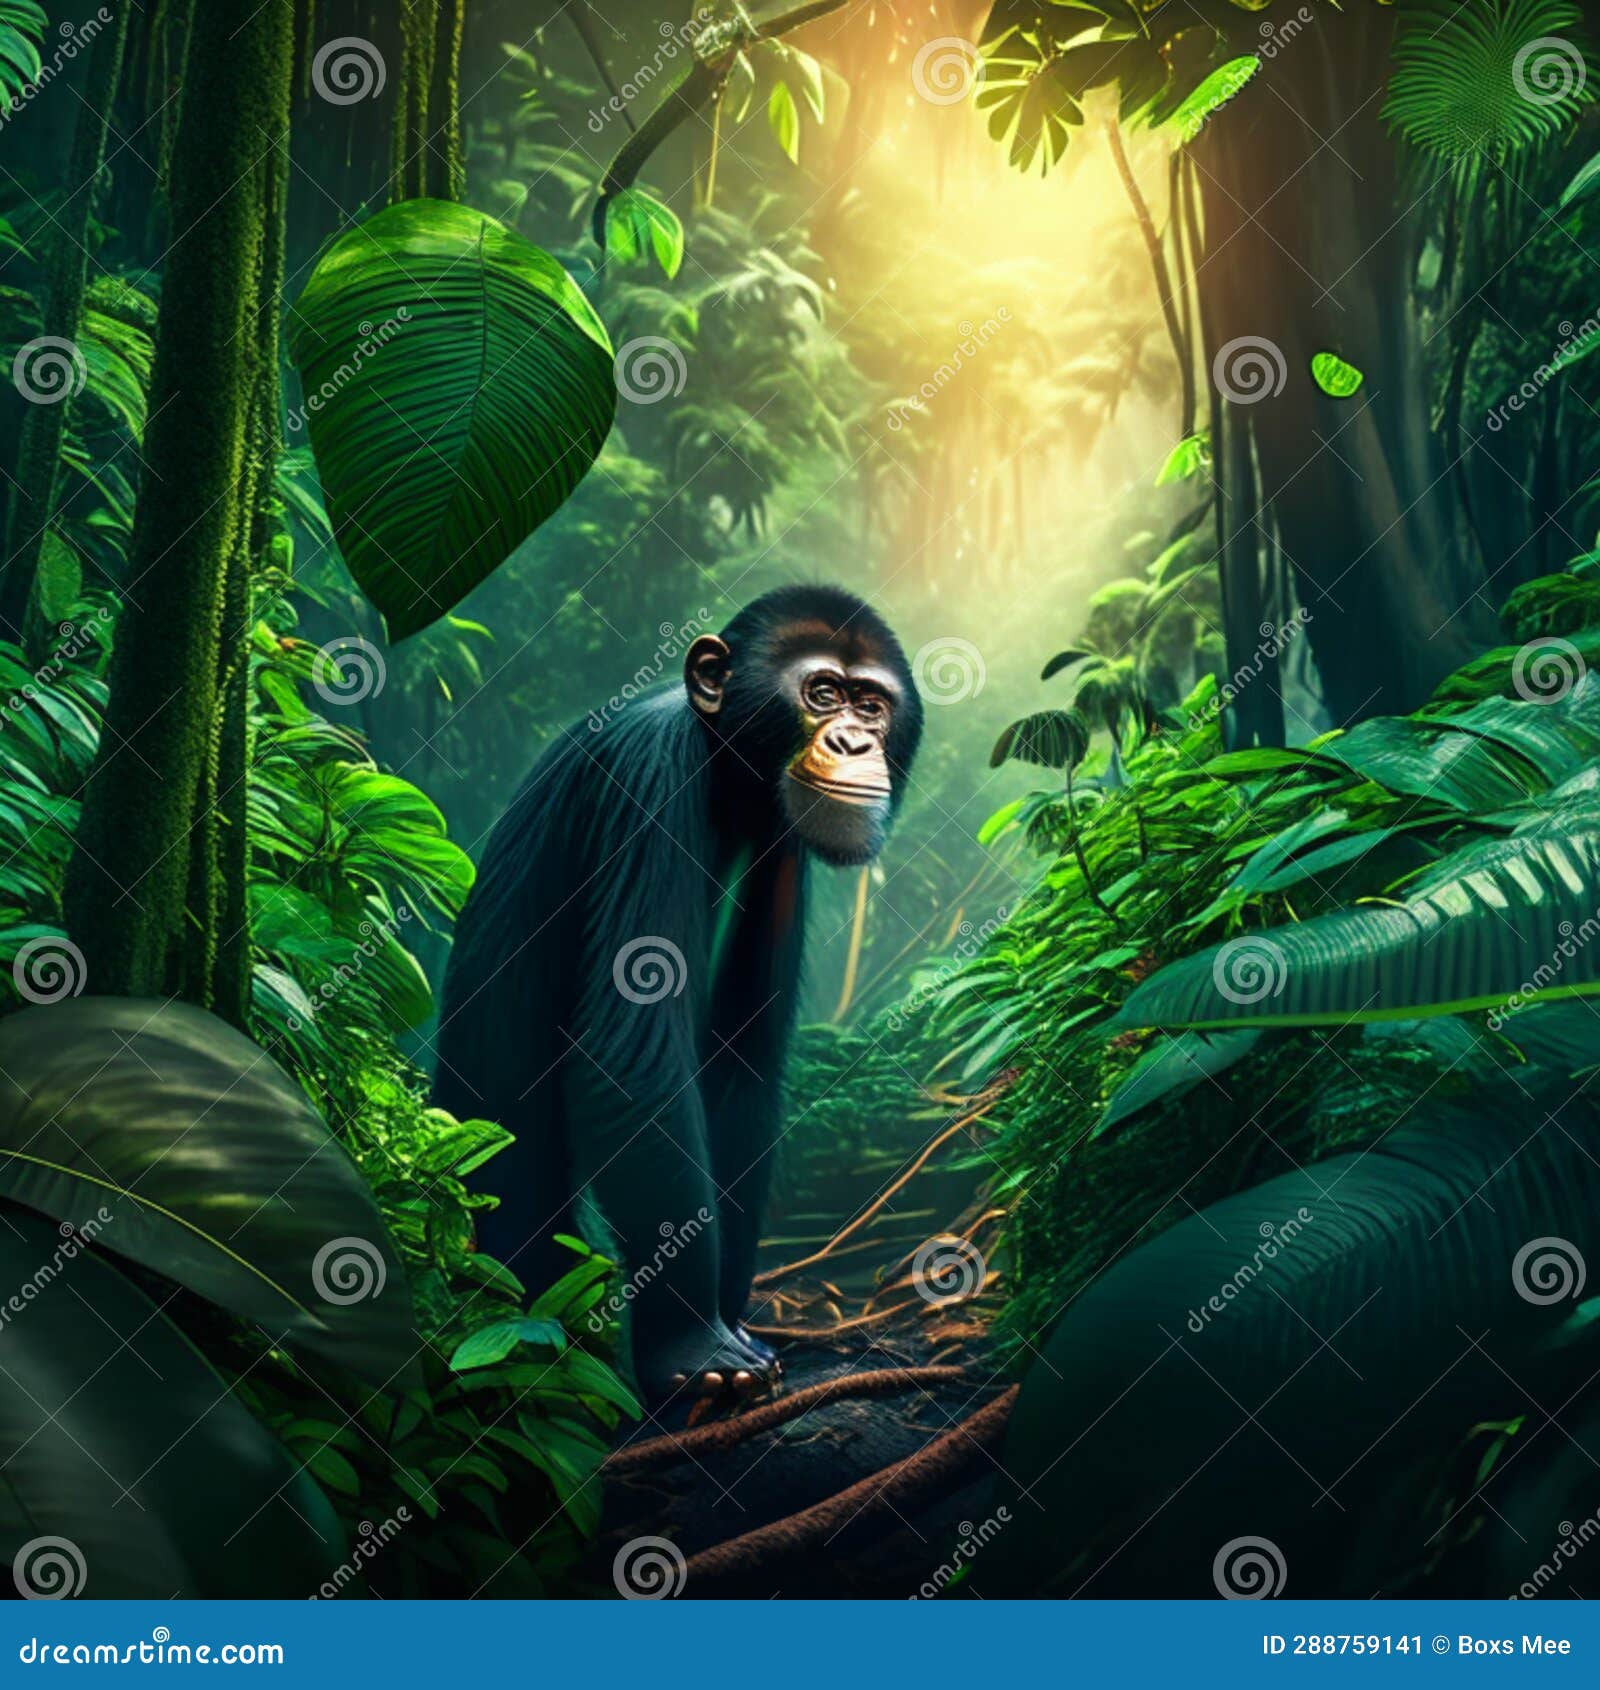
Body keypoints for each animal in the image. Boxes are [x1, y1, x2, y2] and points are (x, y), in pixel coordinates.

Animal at [432, 585, 923, 1410]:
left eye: (872, 704)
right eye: (822, 693)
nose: (857, 741)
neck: (726, 767)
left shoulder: (782, 850)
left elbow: (742, 1061)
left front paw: (733, 1322)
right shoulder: (652, 776)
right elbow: (632, 1055)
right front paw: (695, 1347)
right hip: (487, 1148)